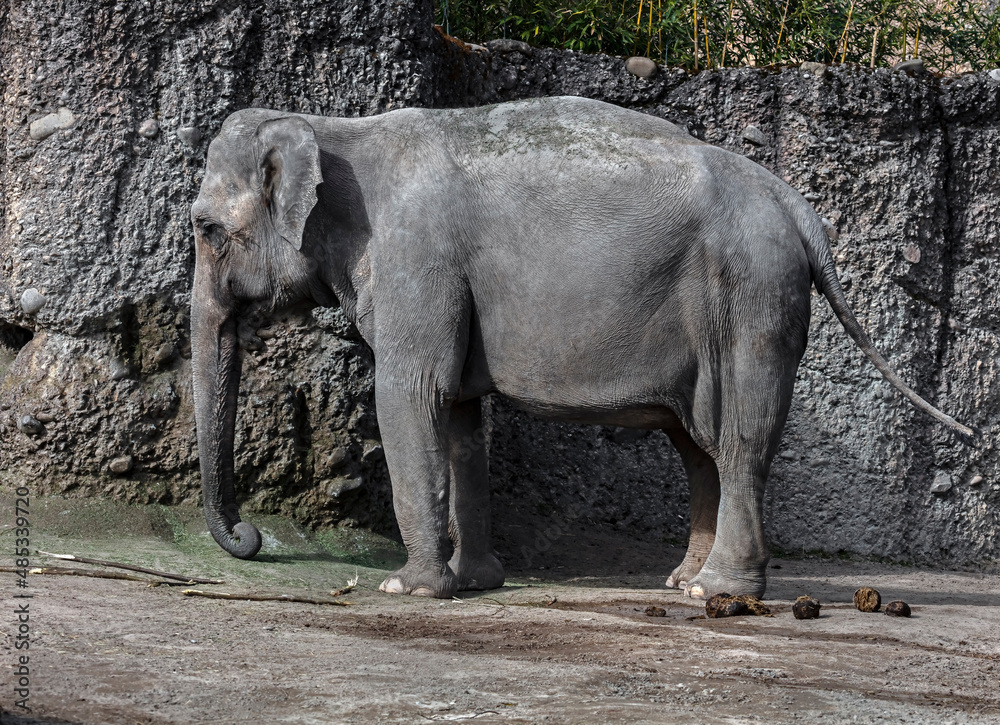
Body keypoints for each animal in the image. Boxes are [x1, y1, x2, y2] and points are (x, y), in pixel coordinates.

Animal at [190, 95, 975, 600]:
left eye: (203, 228)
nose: (250, 536)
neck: (333, 130)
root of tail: (797, 206)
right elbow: (459, 417)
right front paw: (474, 583)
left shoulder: (419, 260)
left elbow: (409, 394)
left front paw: (407, 588)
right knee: (700, 442)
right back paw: (685, 580)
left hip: (754, 292)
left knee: (738, 437)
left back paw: (716, 592)